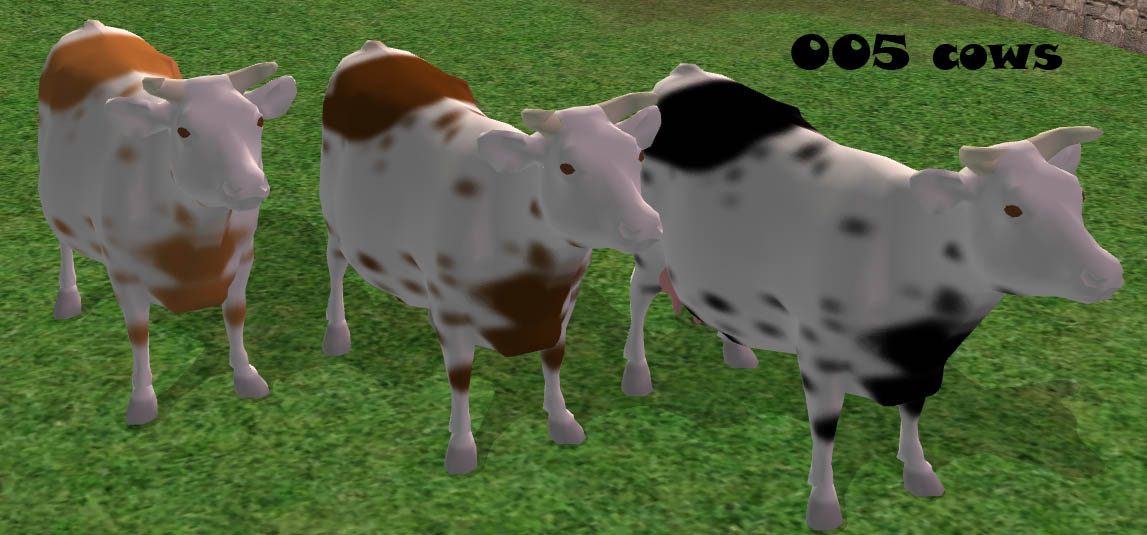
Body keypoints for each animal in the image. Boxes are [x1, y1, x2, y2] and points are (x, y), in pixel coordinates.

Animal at [37, 20, 298, 425]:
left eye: (257, 120)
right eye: (183, 130)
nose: (249, 186)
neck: (198, 243)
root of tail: (92, 27)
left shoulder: (243, 257)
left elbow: (236, 316)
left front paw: (246, 375)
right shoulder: (123, 273)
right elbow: (138, 334)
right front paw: (143, 401)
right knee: (64, 241)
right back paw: (67, 298)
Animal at [318, 40, 663, 474]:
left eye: (637, 157)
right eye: (566, 166)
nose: (646, 225)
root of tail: (373, 49)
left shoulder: (562, 306)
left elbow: (554, 360)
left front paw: (562, 421)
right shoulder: (452, 314)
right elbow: (460, 379)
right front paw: (461, 448)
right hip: (334, 215)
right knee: (335, 265)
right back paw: (336, 334)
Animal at [621, 63, 1124, 530]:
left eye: (1077, 196)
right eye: (1012, 208)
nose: (1107, 273)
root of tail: (685, 75)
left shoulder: (920, 365)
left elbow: (914, 414)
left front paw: (919, 472)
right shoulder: (820, 353)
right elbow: (825, 431)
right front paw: (824, 504)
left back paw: (737, 350)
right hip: (651, 242)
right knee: (638, 298)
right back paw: (637, 374)